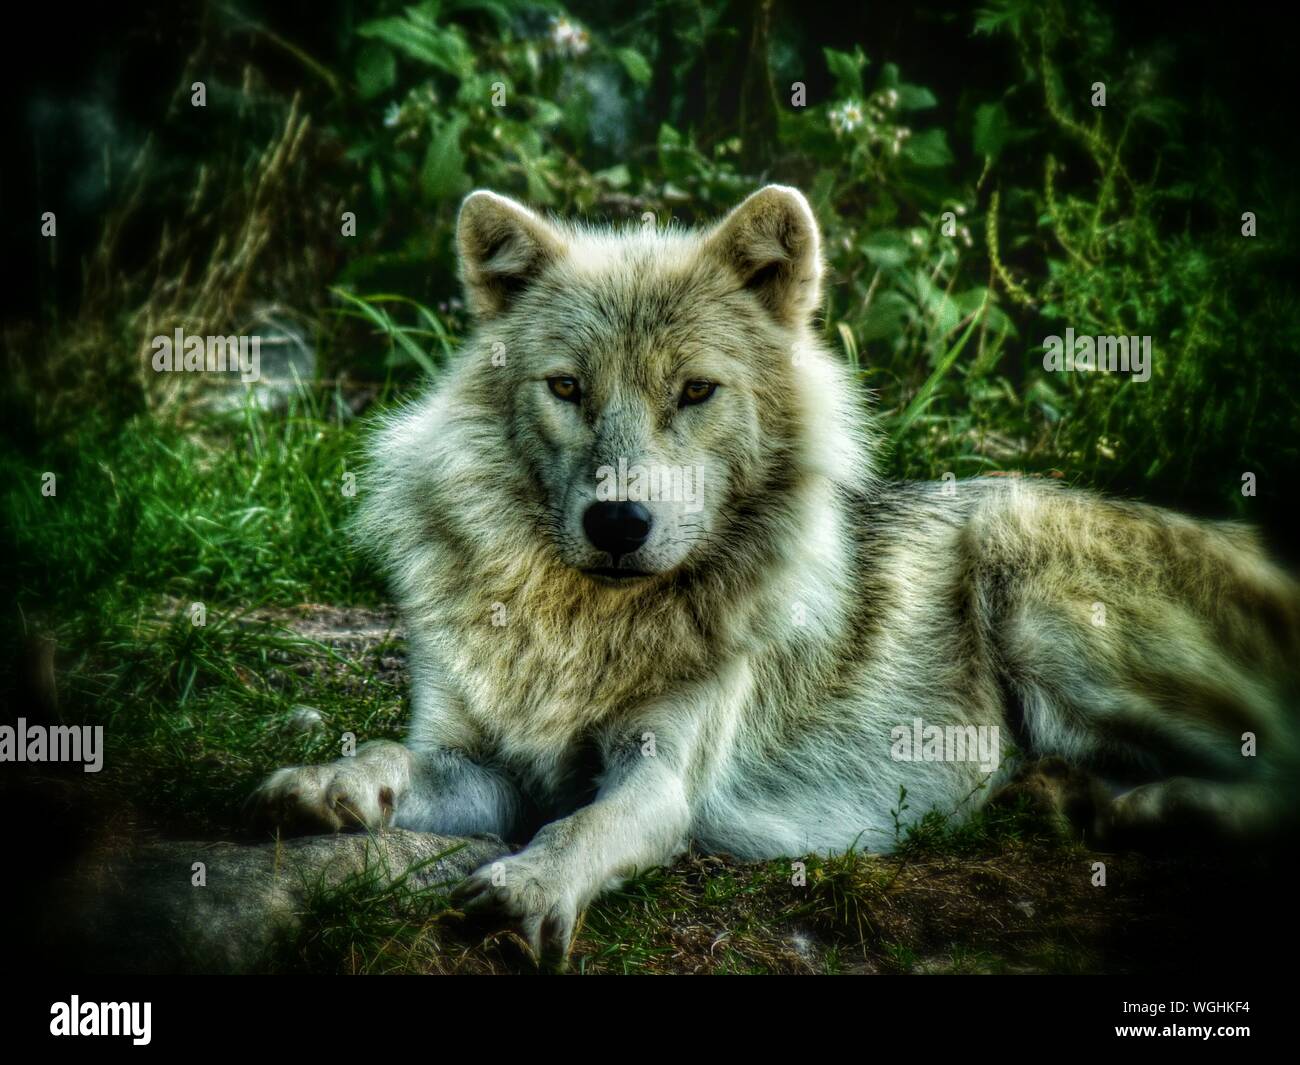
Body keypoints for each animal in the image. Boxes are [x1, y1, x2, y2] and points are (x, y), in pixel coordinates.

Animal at [250, 185, 1300, 965]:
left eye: (695, 392)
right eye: (567, 388)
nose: (618, 521)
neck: (583, 625)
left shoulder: (659, 777)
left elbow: (585, 830)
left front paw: (530, 887)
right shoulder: (490, 765)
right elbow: (396, 754)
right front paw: (329, 781)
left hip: (1043, 596)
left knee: (1276, 763)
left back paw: (1143, 807)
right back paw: (1060, 797)